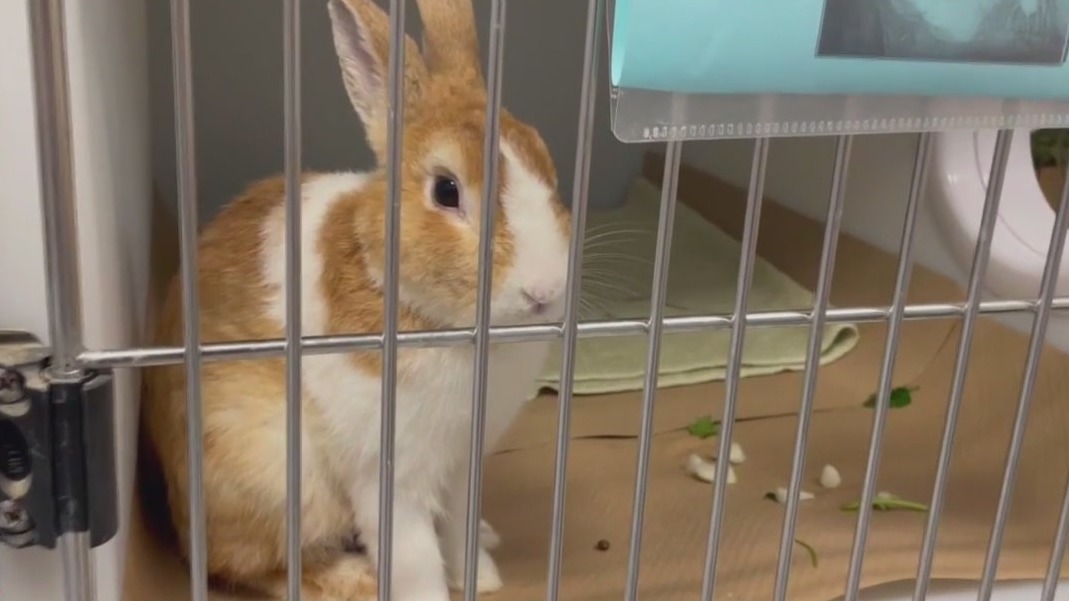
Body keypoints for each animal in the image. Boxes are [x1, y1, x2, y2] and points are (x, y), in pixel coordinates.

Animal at [138, 0, 571, 599]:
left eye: (546, 163)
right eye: (446, 191)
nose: (544, 290)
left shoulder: (462, 465)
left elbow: (457, 527)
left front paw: (480, 578)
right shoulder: (388, 472)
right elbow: (413, 554)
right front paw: (433, 590)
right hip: (274, 480)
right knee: (252, 566)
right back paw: (356, 577)